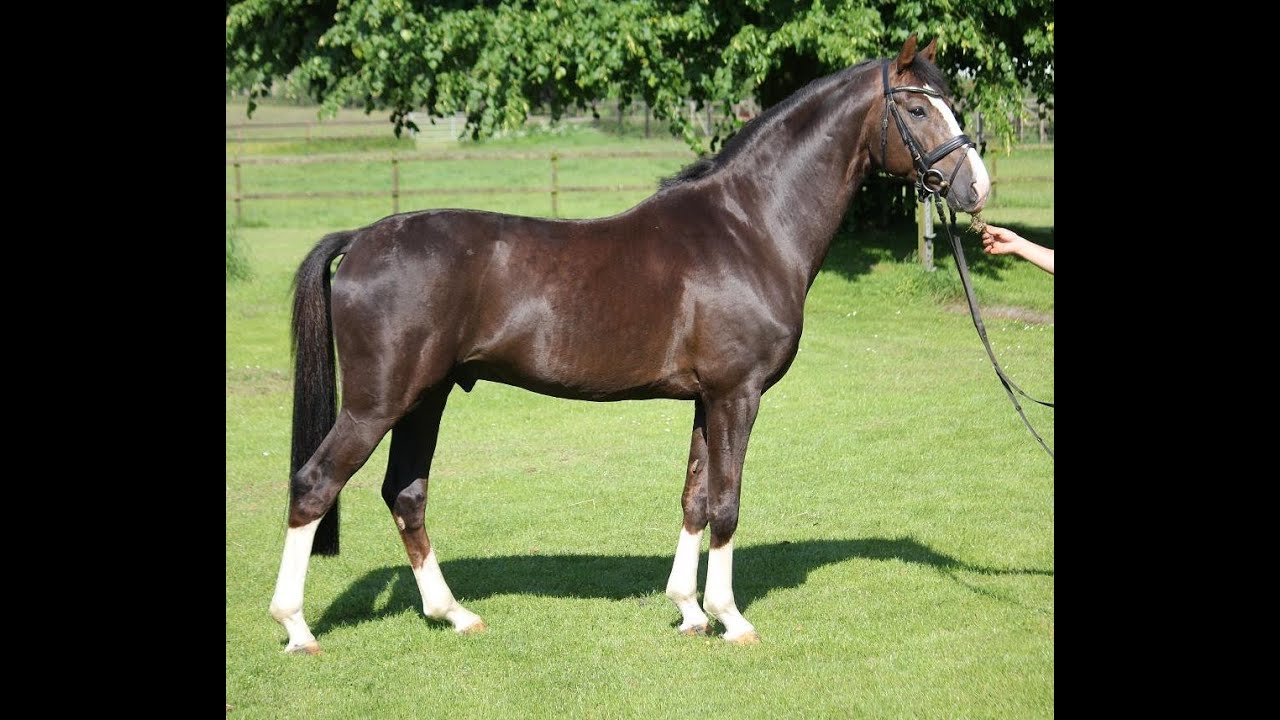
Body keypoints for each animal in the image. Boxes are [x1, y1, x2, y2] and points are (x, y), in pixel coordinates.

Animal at [269, 35, 990, 653]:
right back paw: (297, 627)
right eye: (918, 107)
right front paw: (731, 619)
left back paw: (453, 614)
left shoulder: (705, 400)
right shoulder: (738, 395)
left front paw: (690, 611)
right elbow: (727, 503)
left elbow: (695, 498)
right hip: (378, 402)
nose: (976, 189)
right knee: (315, 484)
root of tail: (361, 238)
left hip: (426, 397)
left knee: (406, 494)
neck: (748, 227)